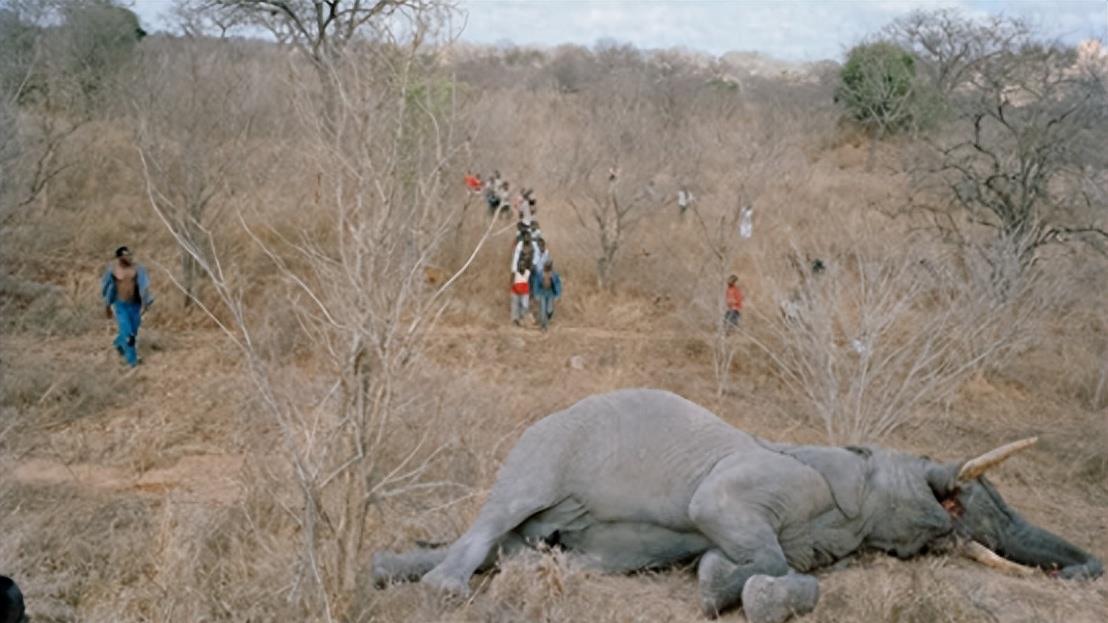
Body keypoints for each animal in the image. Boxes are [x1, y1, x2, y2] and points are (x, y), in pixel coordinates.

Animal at [372, 389, 1102, 621]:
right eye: (963, 495)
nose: (1085, 569)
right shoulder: (773, 478)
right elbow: (728, 519)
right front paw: (730, 589)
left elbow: (782, 564)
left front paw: (721, 582)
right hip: (542, 447)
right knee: (496, 517)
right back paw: (442, 589)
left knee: (518, 550)